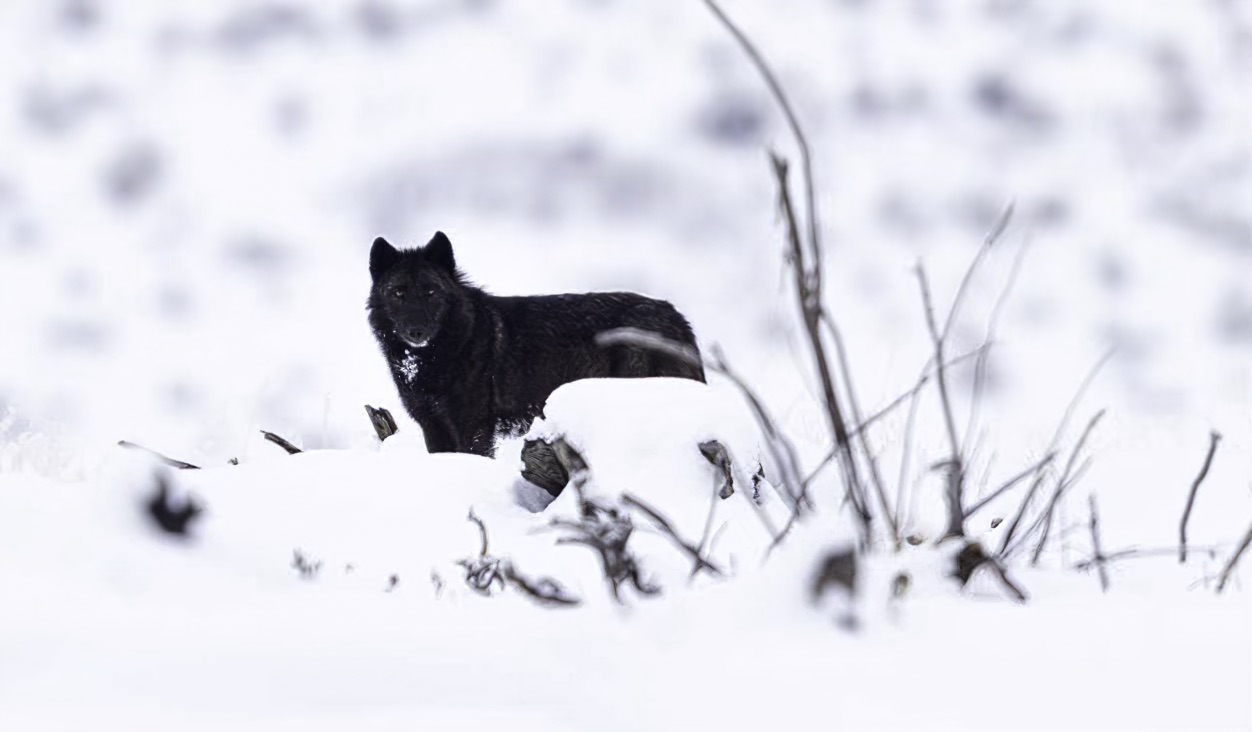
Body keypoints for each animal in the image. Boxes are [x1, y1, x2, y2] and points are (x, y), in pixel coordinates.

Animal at [367, 232, 705, 457]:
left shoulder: (474, 426)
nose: (416, 331)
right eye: (398, 293)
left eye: (430, 292)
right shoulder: (432, 424)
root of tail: (677, 317)